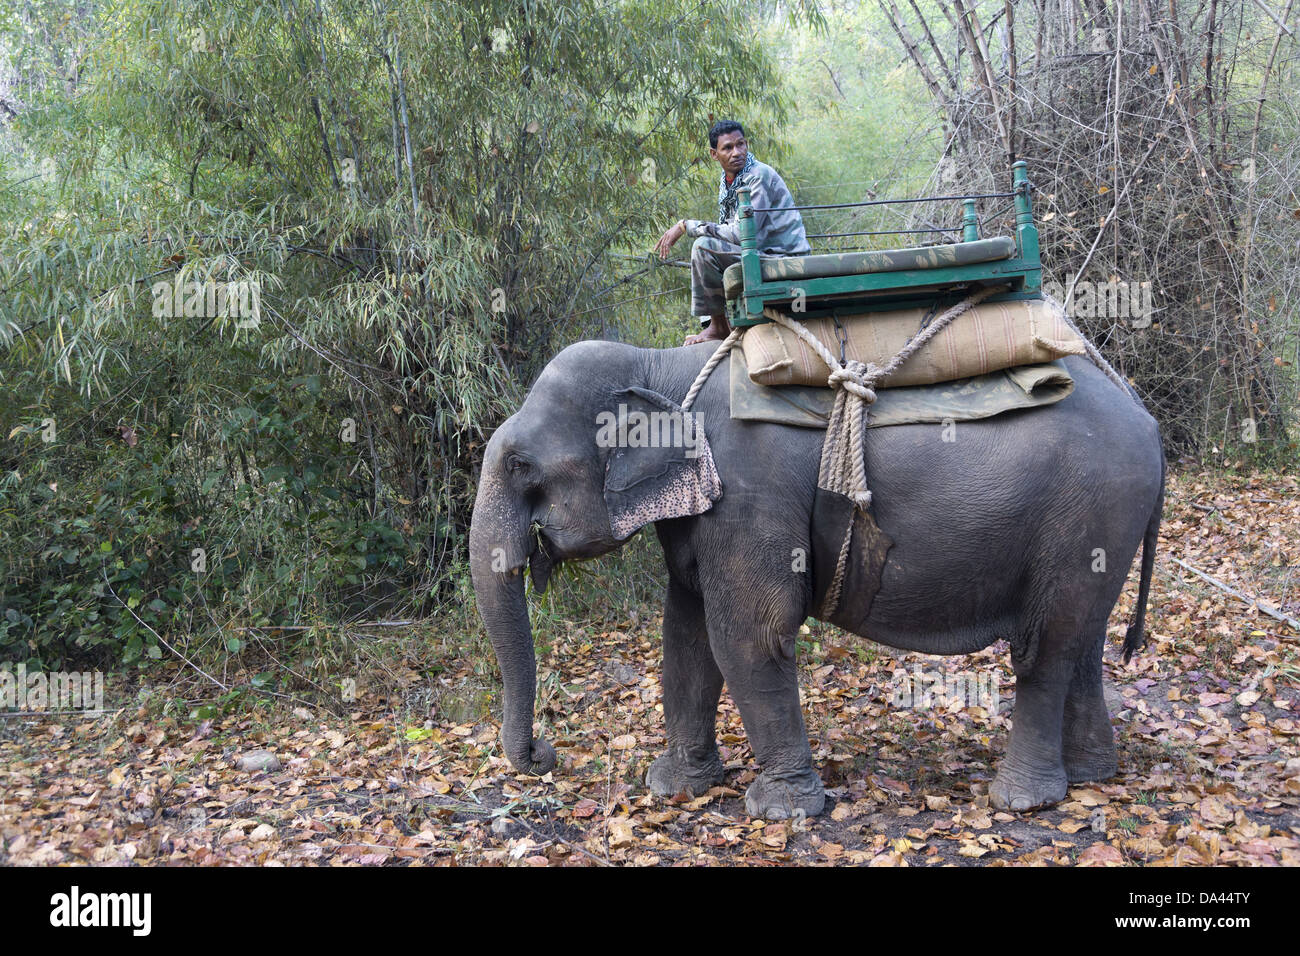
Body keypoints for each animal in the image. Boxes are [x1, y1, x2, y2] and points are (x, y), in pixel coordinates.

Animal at [468, 337, 1164, 819]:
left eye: (522, 465)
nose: (543, 756)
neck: (662, 365)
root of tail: (1146, 416)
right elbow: (686, 635)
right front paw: (676, 788)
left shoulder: (751, 496)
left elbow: (747, 637)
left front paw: (778, 811)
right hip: (1099, 529)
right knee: (1081, 640)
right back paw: (1093, 776)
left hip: (1088, 508)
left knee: (1045, 647)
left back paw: (1022, 801)